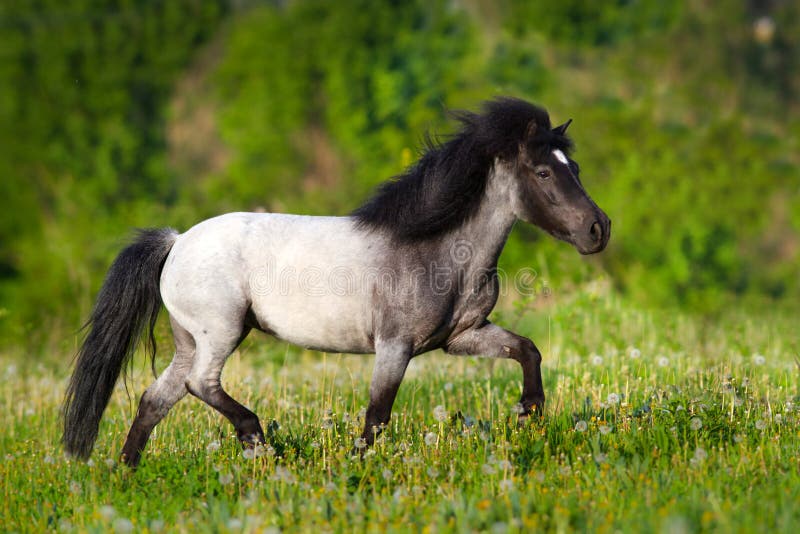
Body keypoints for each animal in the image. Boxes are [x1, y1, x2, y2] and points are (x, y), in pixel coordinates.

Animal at [62, 97, 610, 467]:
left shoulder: (463, 337)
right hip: (220, 332)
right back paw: (257, 441)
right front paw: (357, 469)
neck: (433, 248)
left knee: (156, 399)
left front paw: (529, 413)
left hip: (188, 340)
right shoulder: (395, 347)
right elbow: (377, 416)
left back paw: (127, 475)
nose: (597, 229)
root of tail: (176, 242)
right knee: (202, 385)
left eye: (576, 166)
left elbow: (528, 349)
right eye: (542, 171)